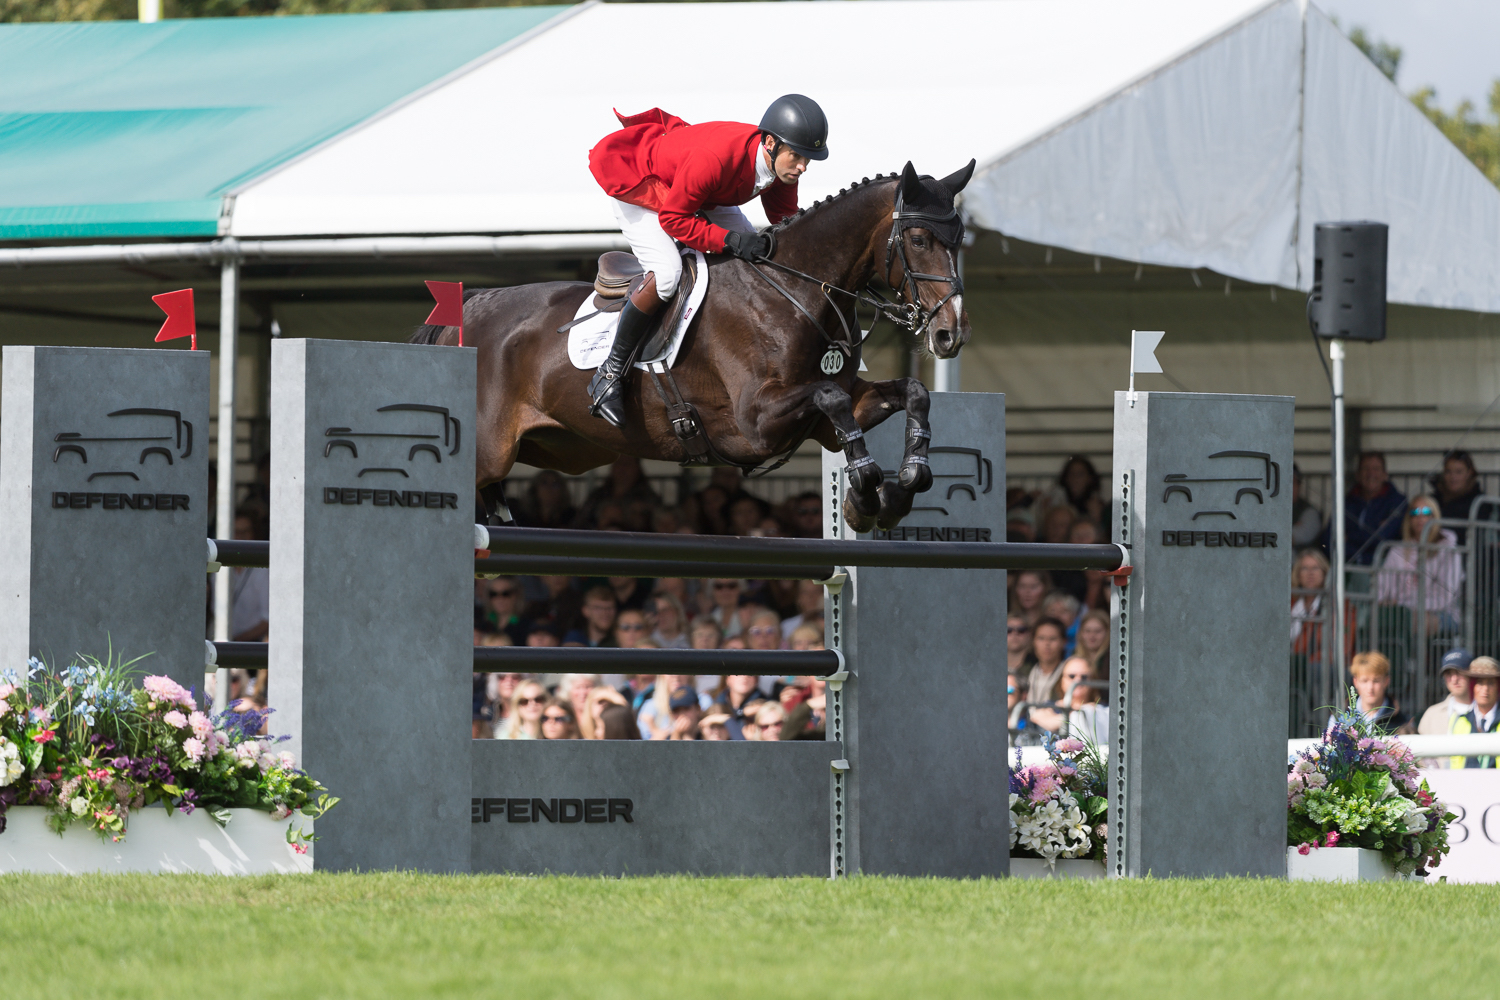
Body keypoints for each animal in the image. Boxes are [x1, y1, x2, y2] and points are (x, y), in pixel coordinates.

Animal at [411, 160, 975, 533]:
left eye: (961, 237)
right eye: (919, 240)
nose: (950, 334)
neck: (795, 288)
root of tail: (470, 306)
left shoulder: (821, 420)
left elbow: (910, 393)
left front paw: (902, 485)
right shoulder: (753, 424)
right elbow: (831, 398)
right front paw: (865, 488)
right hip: (489, 451)